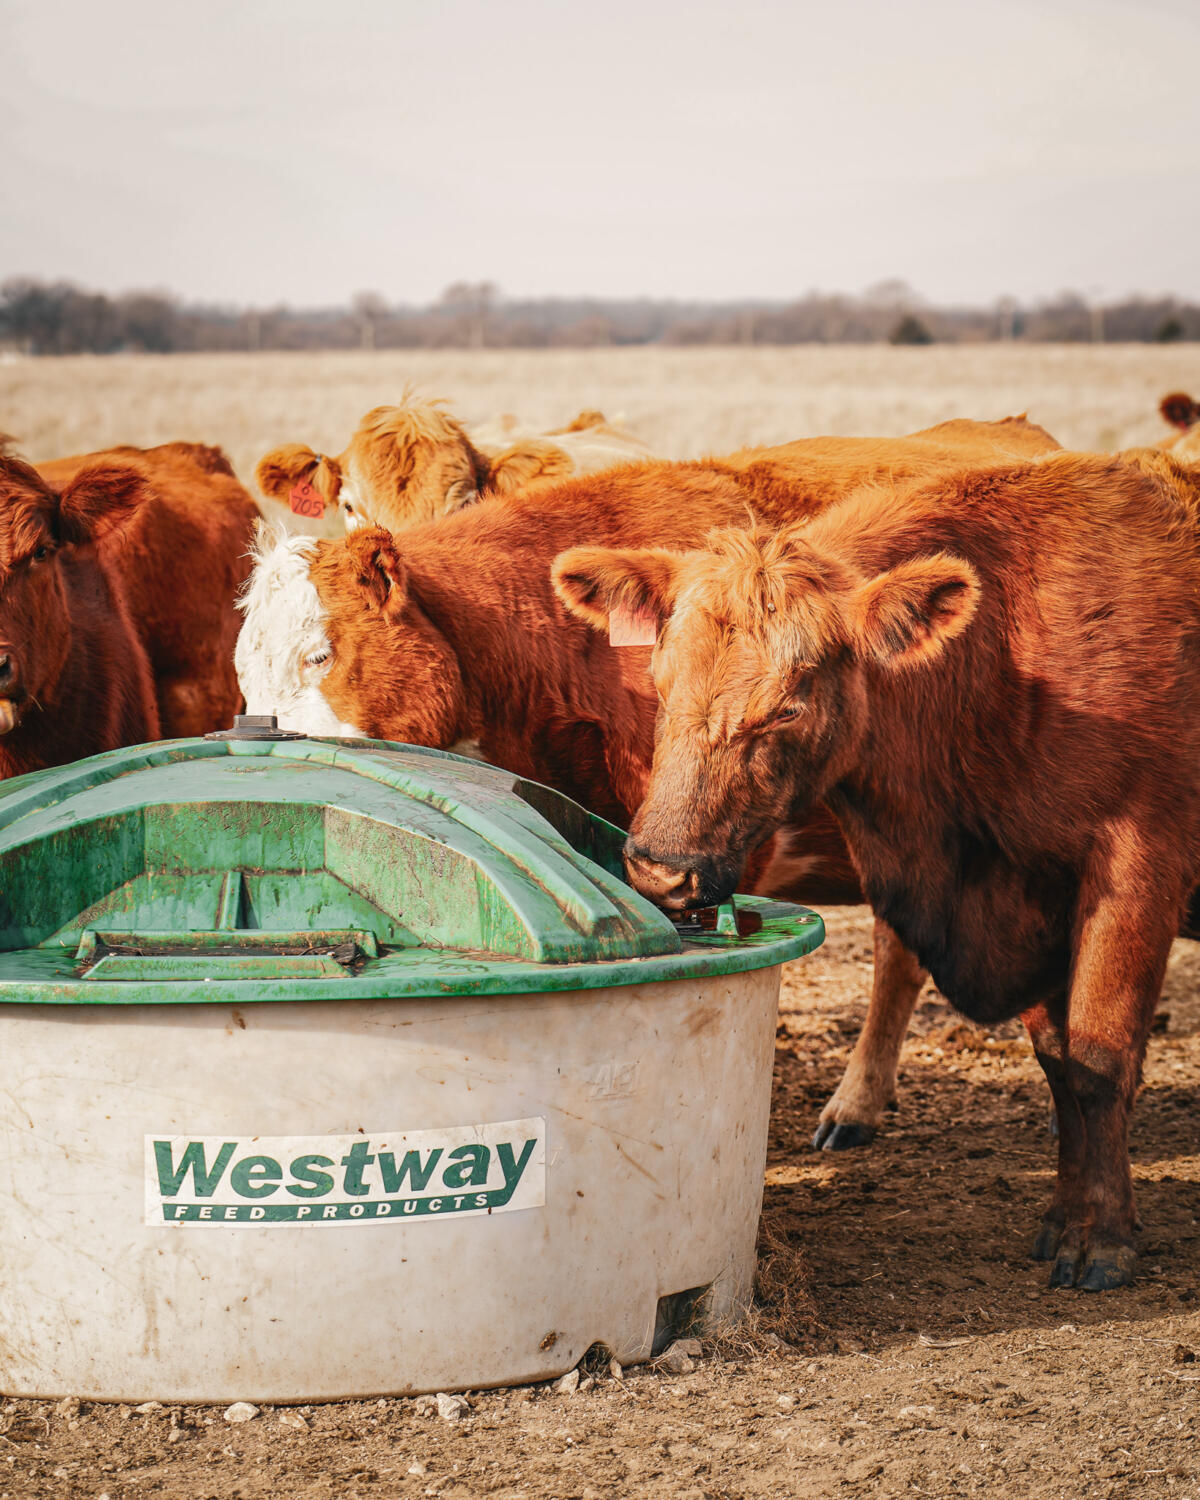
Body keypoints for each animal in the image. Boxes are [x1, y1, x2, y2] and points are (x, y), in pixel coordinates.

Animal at [552, 448, 1200, 1290]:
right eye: (659, 682)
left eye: (787, 707)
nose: (664, 870)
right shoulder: (1031, 900)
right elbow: (1061, 1064)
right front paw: (1067, 1217)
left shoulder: (1135, 868)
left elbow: (1098, 1061)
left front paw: (1103, 1240)